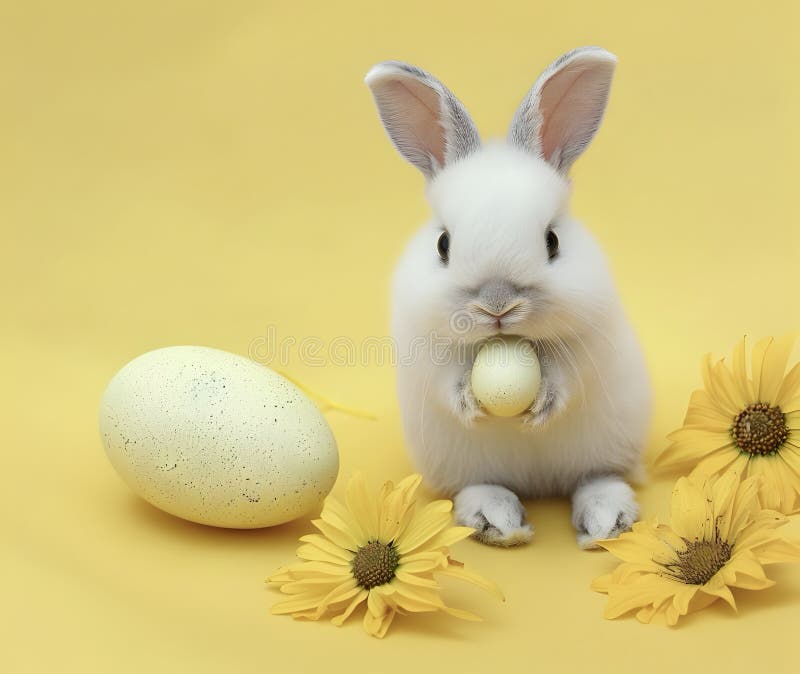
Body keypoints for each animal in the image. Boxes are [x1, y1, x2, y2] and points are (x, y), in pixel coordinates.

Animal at [364, 47, 652, 548]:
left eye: (552, 241)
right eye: (443, 244)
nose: (497, 305)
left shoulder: (591, 334)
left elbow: (570, 373)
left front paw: (540, 408)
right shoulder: (424, 345)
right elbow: (445, 377)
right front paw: (471, 403)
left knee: (596, 478)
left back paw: (607, 521)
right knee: (480, 486)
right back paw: (498, 522)